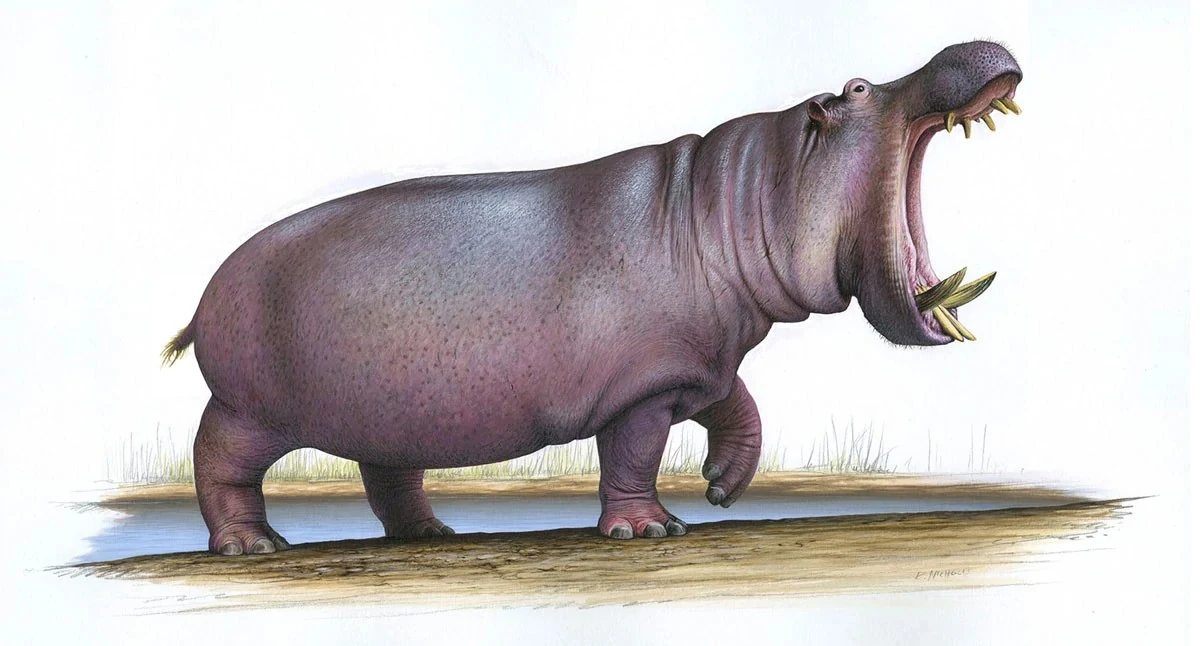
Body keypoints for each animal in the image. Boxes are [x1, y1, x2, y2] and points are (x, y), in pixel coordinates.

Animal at [162, 41, 1021, 554]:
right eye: (856, 86)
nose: (975, 44)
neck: (739, 194)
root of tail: (206, 292)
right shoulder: (641, 390)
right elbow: (635, 452)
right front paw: (651, 530)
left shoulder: (695, 364)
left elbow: (741, 407)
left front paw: (721, 490)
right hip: (250, 408)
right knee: (219, 463)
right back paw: (252, 546)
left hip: (390, 413)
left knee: (389, 476)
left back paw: (434, 535)